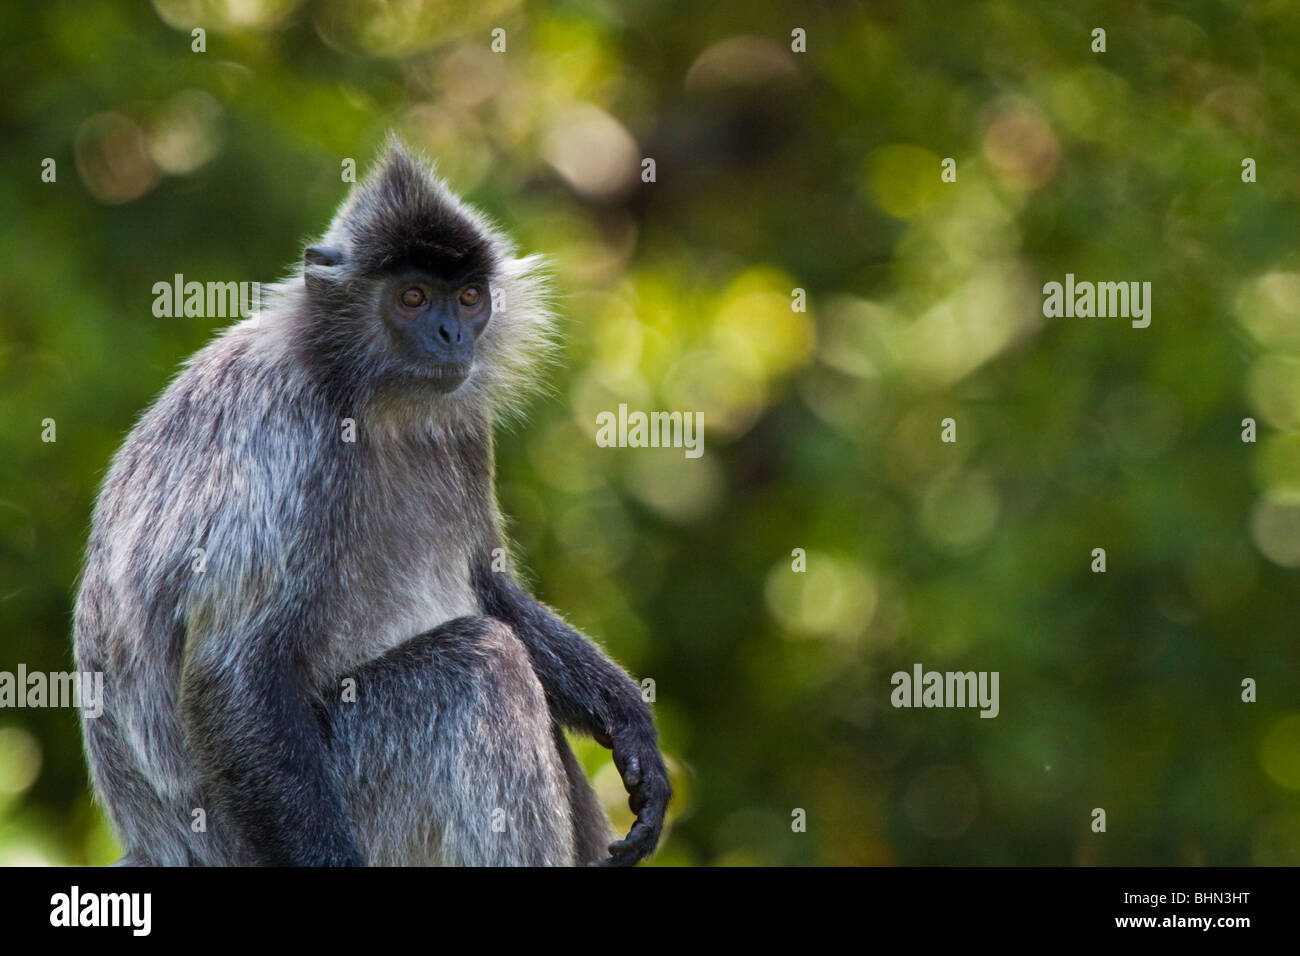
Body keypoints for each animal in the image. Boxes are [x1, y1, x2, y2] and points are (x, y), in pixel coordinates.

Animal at [73, 138, 670, 866]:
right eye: (411, 297)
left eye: (468, 298)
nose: (450, 336)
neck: (377, 403)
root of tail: (156, 845)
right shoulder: (288, 430)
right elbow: (230, 674)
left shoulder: (463, 426)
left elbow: (487, 583)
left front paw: (630, 723)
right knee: (482, 665)